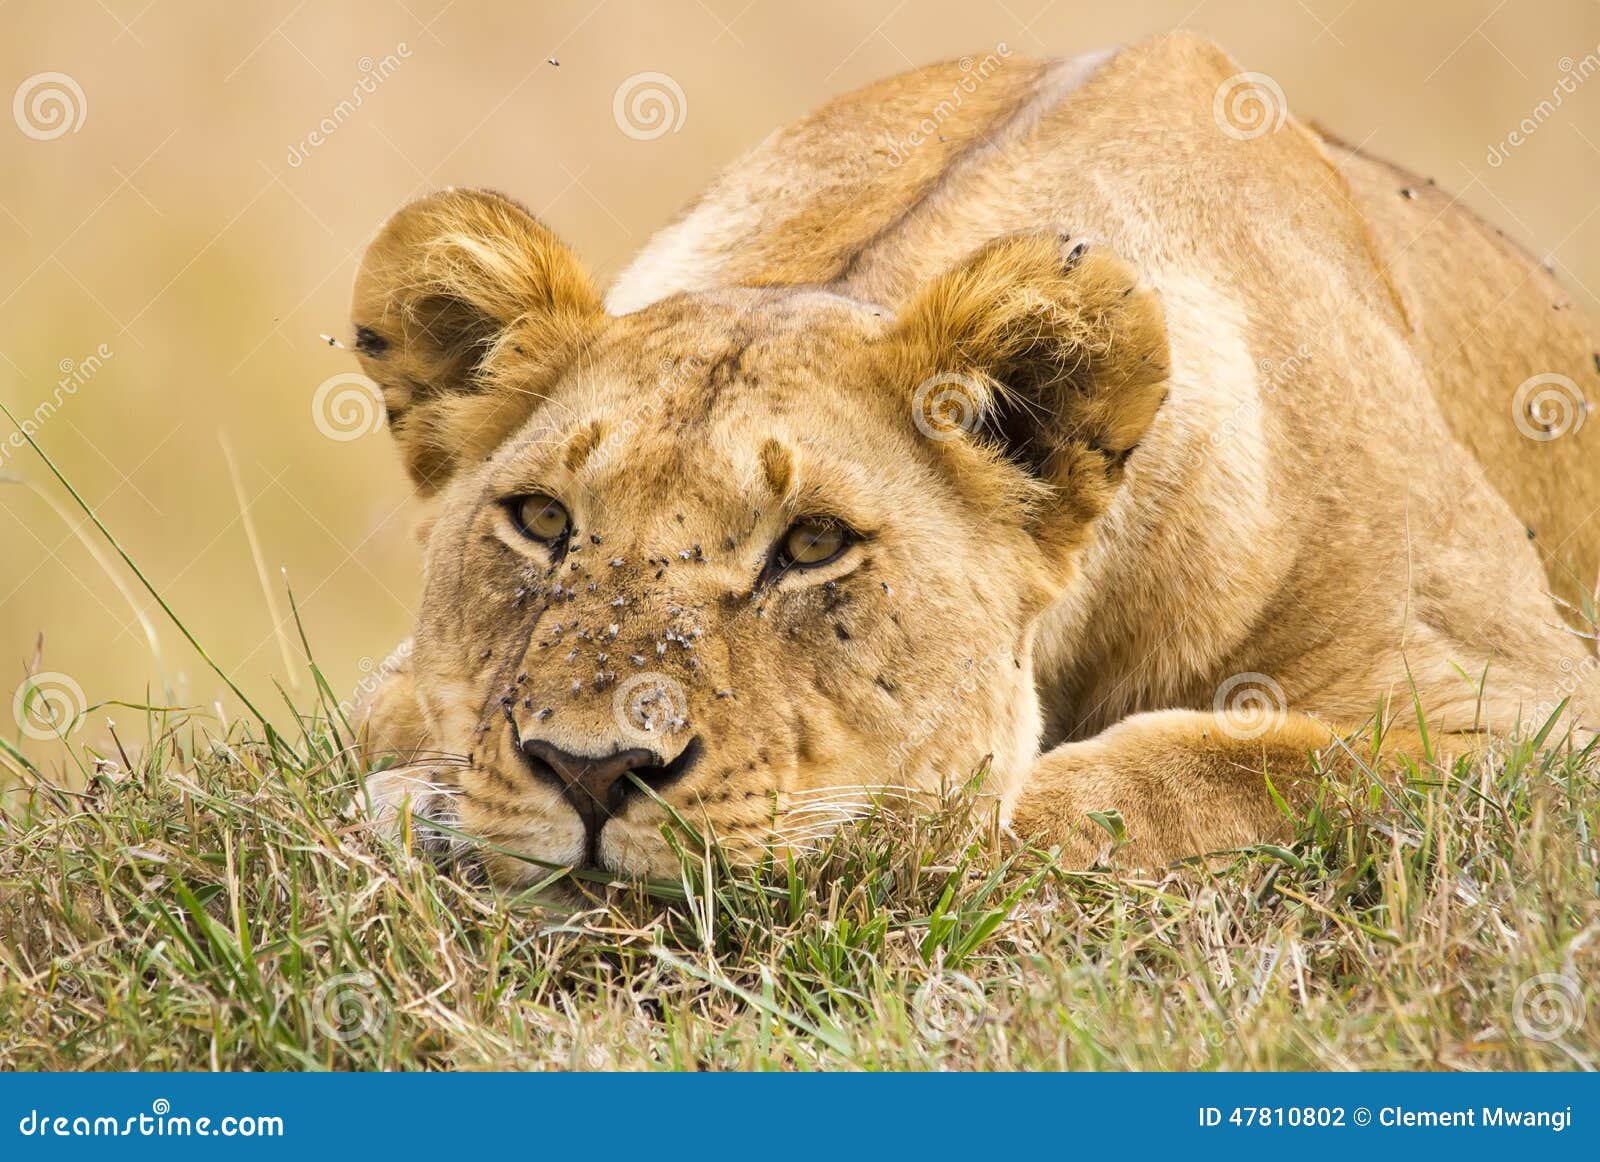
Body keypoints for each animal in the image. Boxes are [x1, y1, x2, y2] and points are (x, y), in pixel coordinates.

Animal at [347, 32, 1599, 883]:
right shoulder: (392, 683)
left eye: (814, 543)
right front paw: (431, 805)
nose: (591, 772)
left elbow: (1218, 766)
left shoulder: (1528, 713)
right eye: (543, 520)